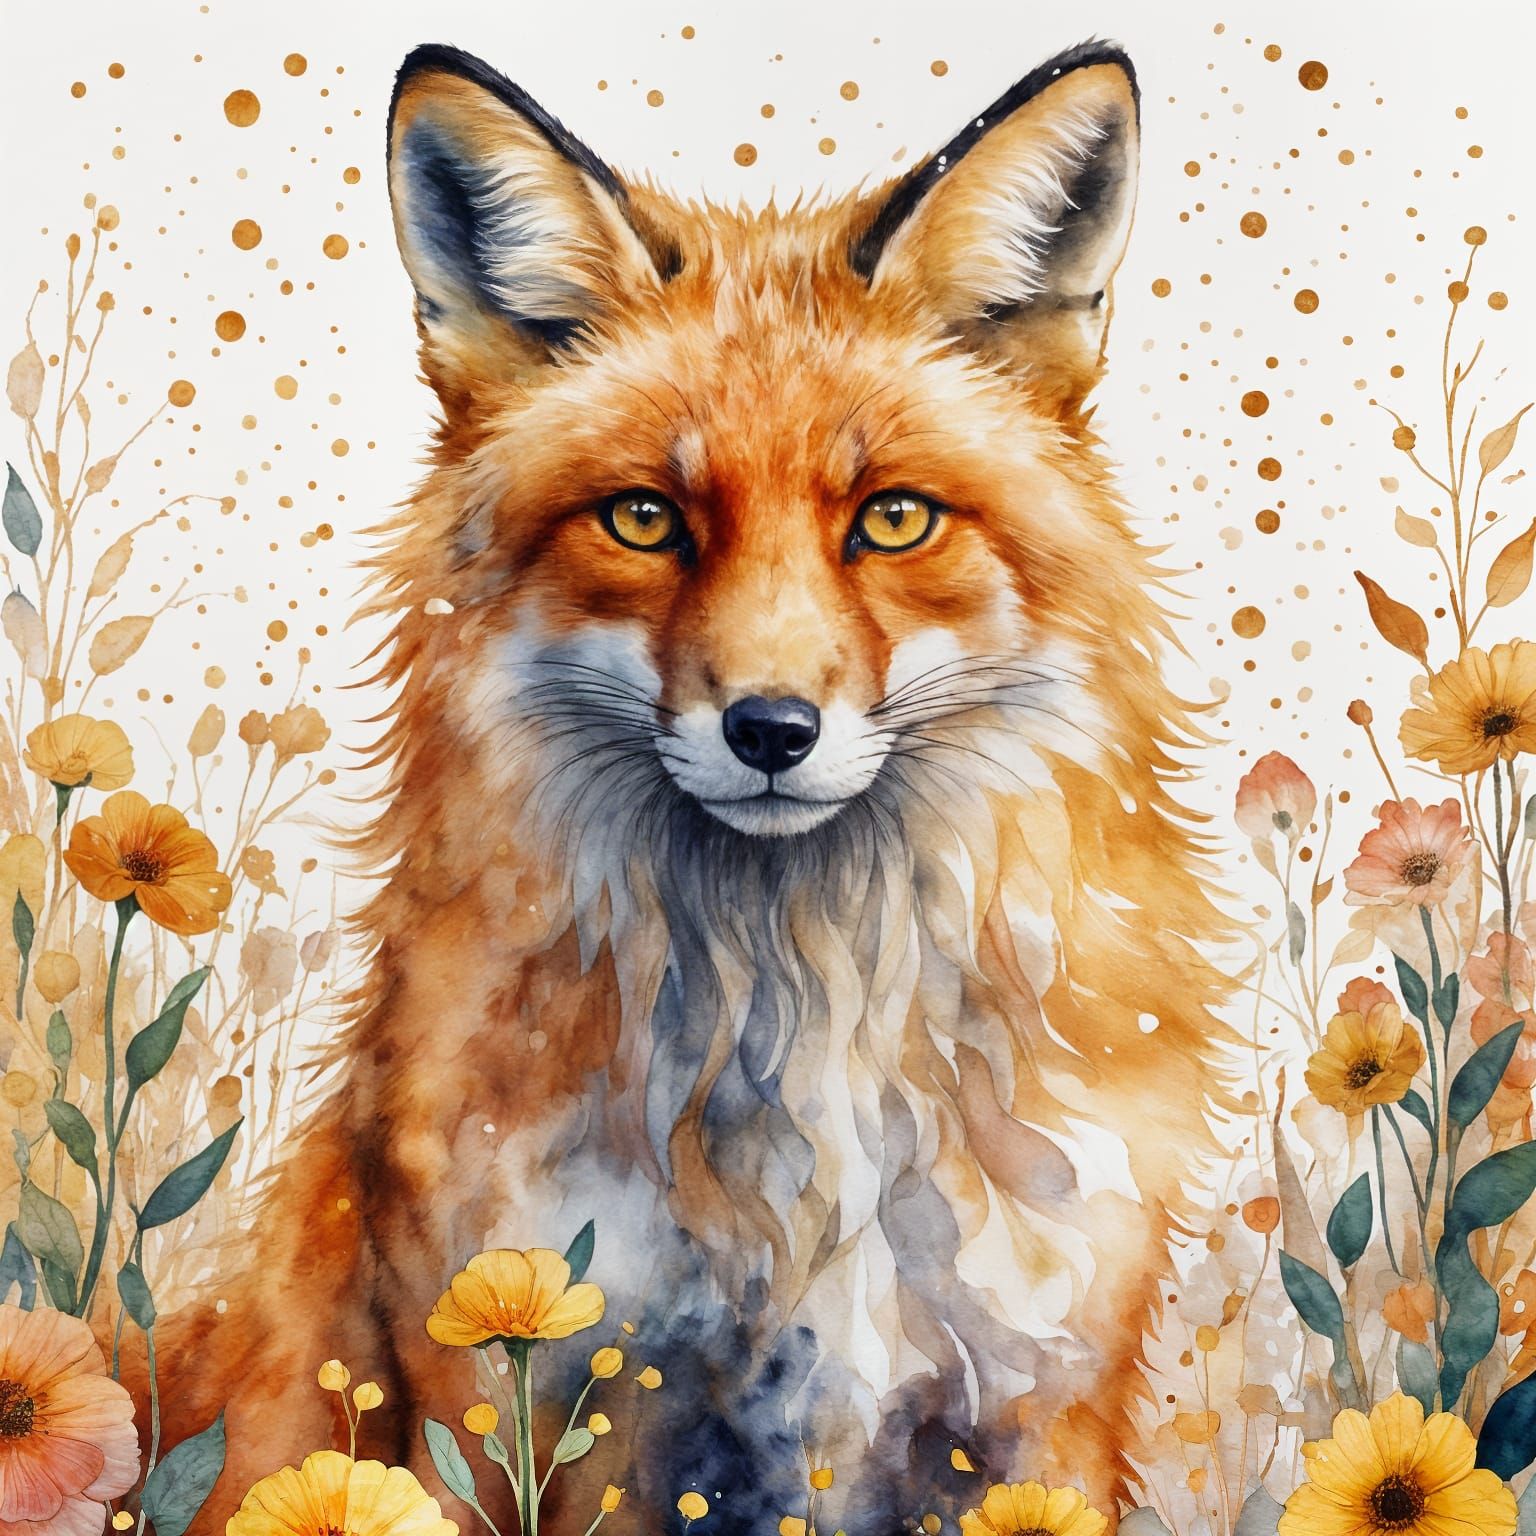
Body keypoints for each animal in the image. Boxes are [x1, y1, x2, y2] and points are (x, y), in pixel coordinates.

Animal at [155, 37, 1235, 1535]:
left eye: (893, 518)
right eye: (645, 519)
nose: (771, 729)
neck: (796, 1011)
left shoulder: (1038, 1406)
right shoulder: (534, 1394)